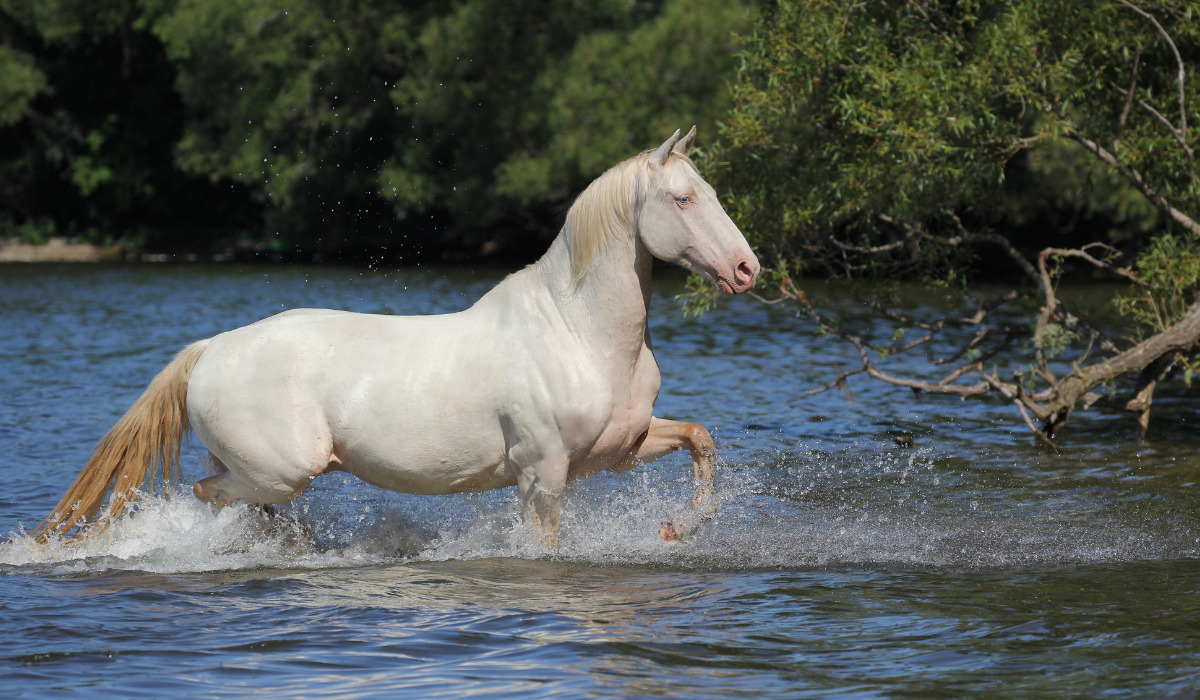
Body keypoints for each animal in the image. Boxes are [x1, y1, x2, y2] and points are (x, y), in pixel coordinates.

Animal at [33, 127, 760, 548]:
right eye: (683, 200)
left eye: (710, 190)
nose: (746, 270)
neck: (579, 334)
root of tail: (211, 348)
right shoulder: (543, 474)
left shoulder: (620, 451)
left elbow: (700, 441)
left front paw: (677, 528)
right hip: (282, 470)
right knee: (208, 497)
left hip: (256, 470)